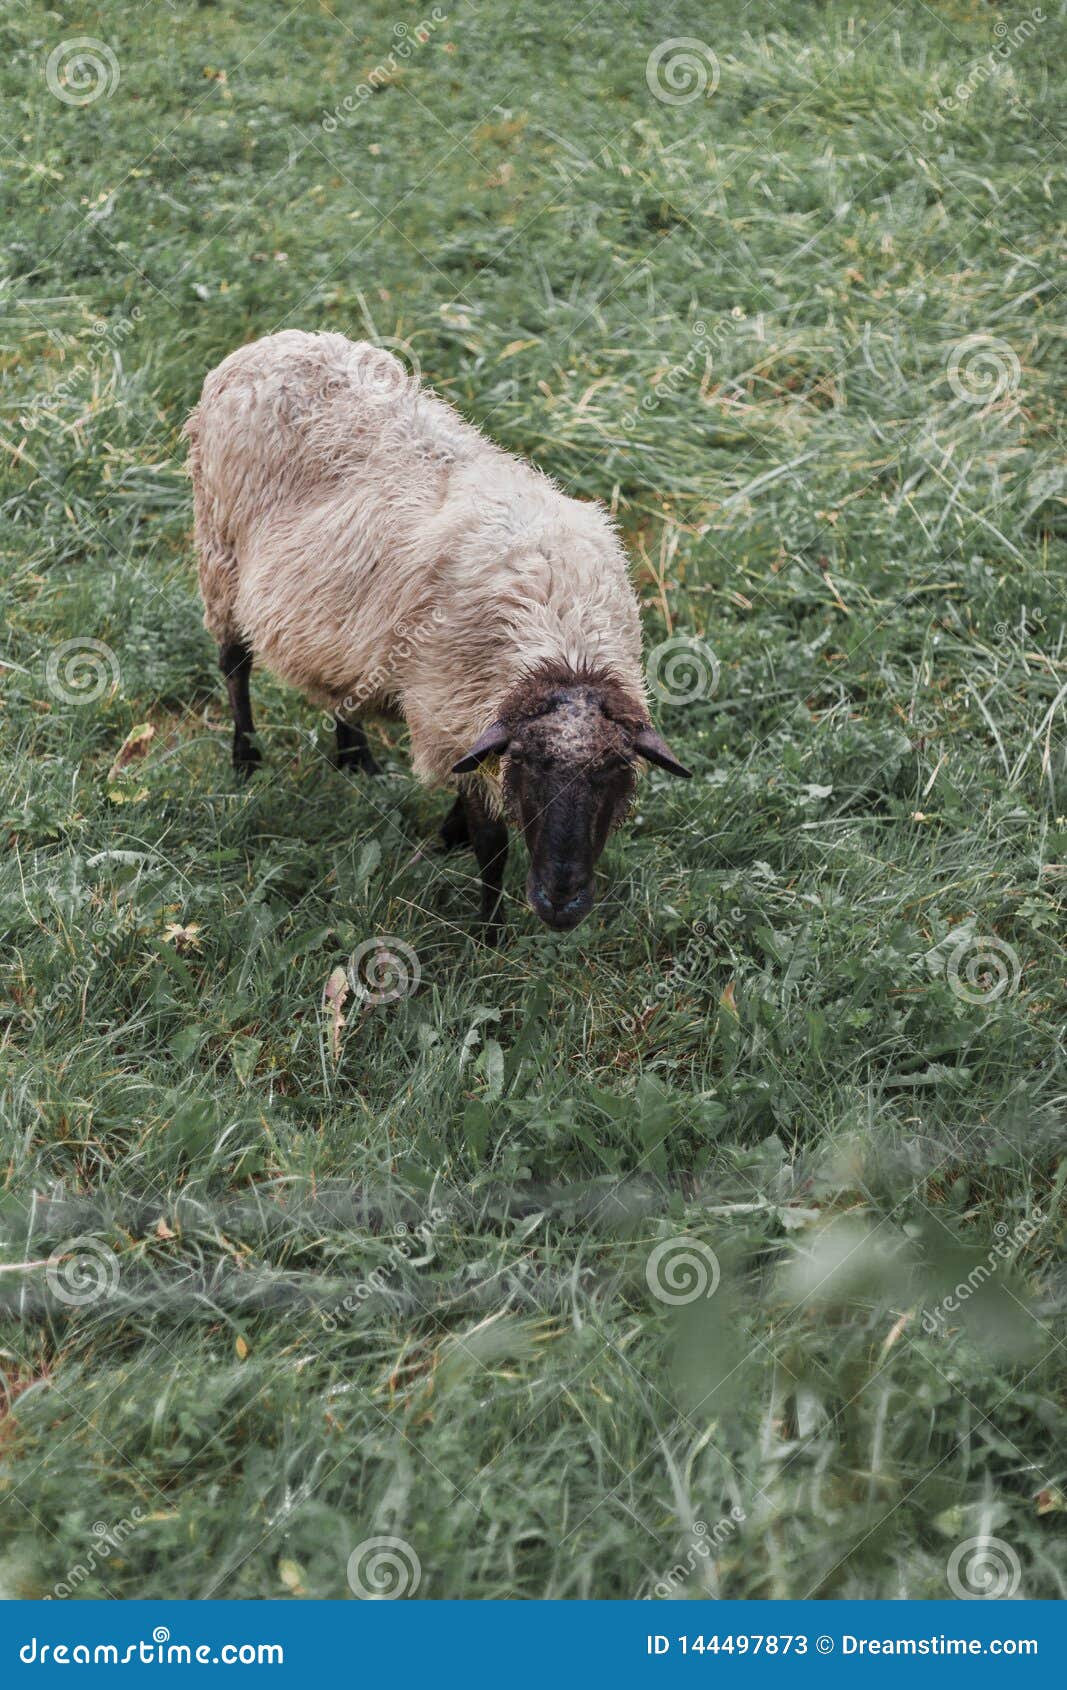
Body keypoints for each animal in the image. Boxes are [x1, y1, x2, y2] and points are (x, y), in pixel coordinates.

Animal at [185, 329, 690, 937]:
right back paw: (246, 758)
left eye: (613, 773)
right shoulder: (449, 712)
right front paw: (490, 933)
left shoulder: (467, 714)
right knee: (234, 664)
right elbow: (492, 841)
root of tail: (274, 342)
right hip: (220, 552)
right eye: (531, 767)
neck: (559, 639)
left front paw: (449, 839)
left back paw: (356, 760)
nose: (560, 906)